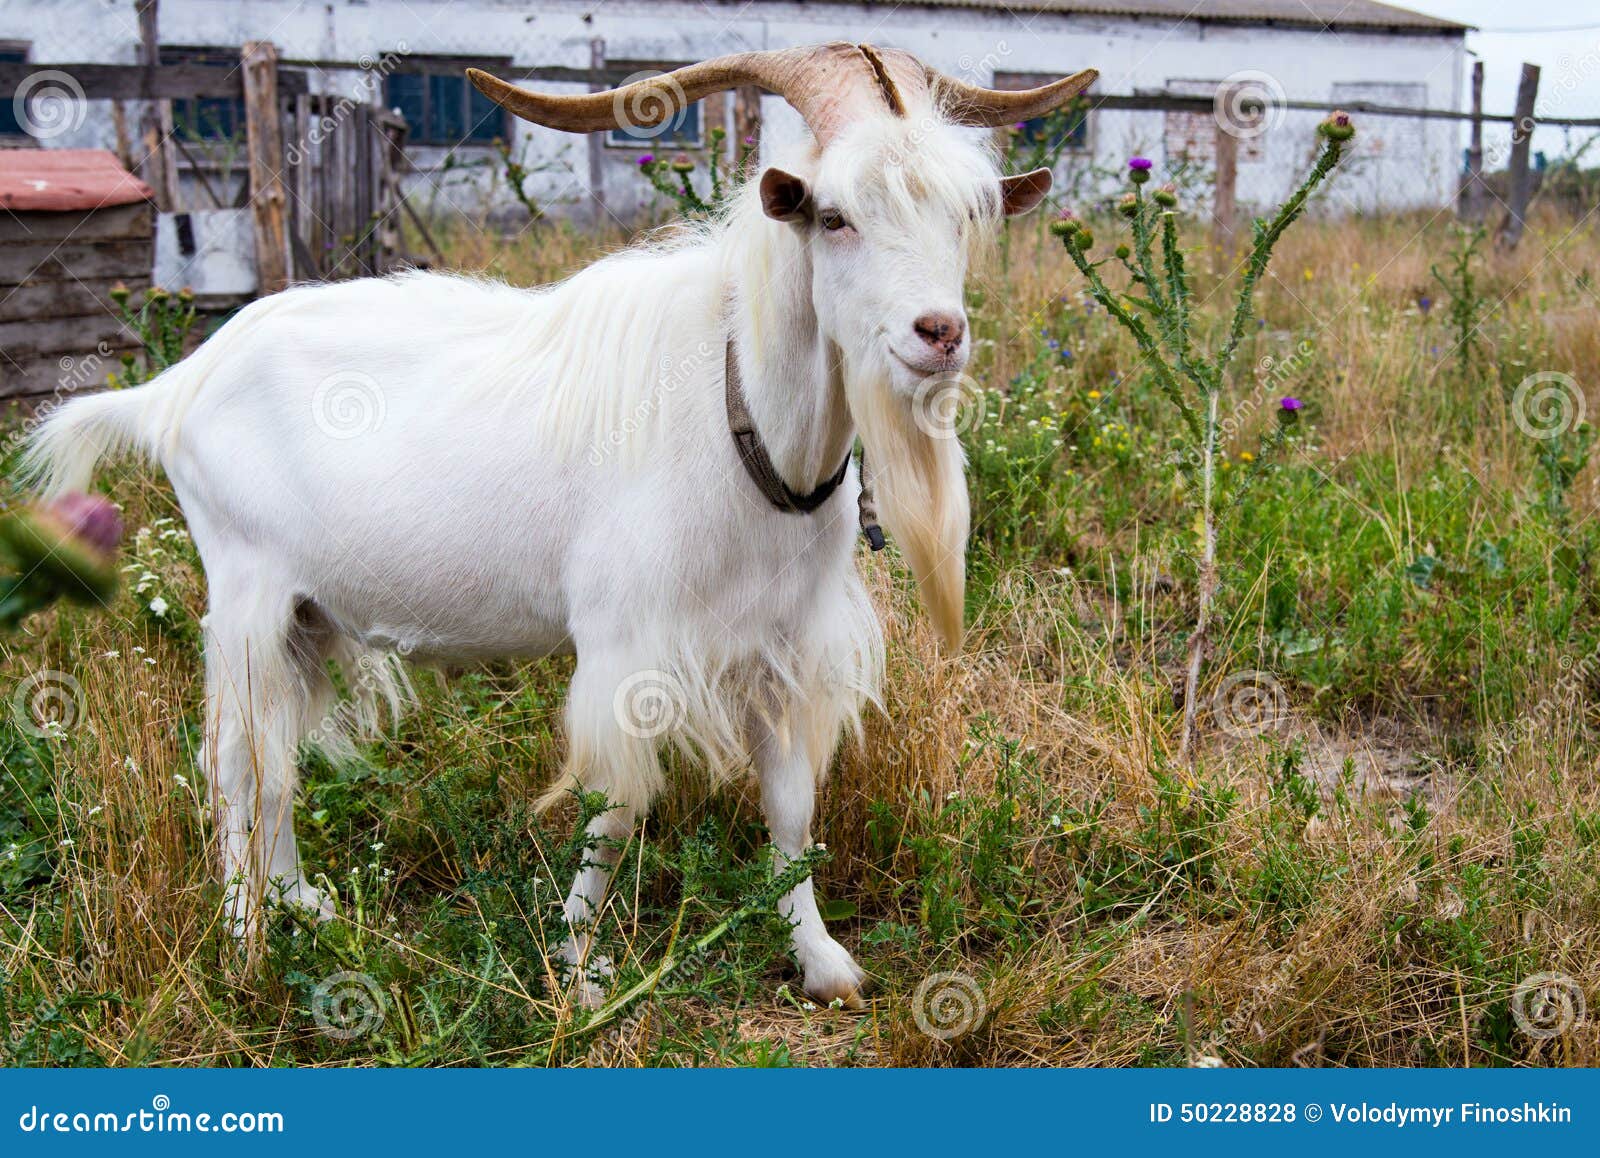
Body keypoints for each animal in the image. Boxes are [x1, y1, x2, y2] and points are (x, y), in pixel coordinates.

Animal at [23, 43, 1094, 1008]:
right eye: (833, 217)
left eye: (964, 217)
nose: (938, 335)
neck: (743, 420)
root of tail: (178, 385)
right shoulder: (627, 648)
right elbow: (612, 810)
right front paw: (580, 976)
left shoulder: (784, 649)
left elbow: (790, 807)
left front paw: (824, 964)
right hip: (244, 592)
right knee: (236, 761)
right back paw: (246, 938)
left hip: (307, 615)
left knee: (278, 757)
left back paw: (303, 907)